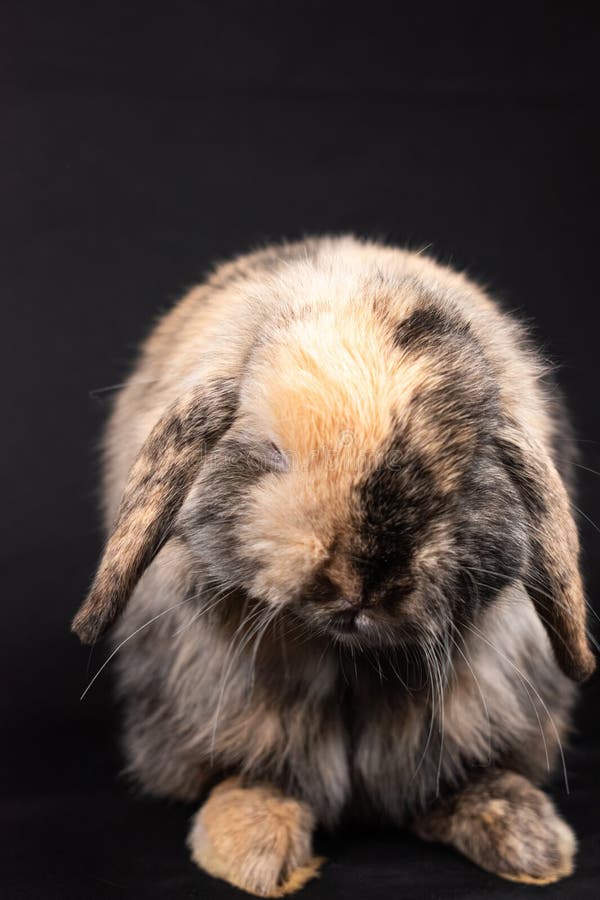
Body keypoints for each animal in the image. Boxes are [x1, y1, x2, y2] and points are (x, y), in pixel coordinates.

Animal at [72, 235, 595, 897]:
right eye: (274, 452)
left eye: (468, 464)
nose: (363, 583)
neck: (347, 661)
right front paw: (255, 855)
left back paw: (527, 843)